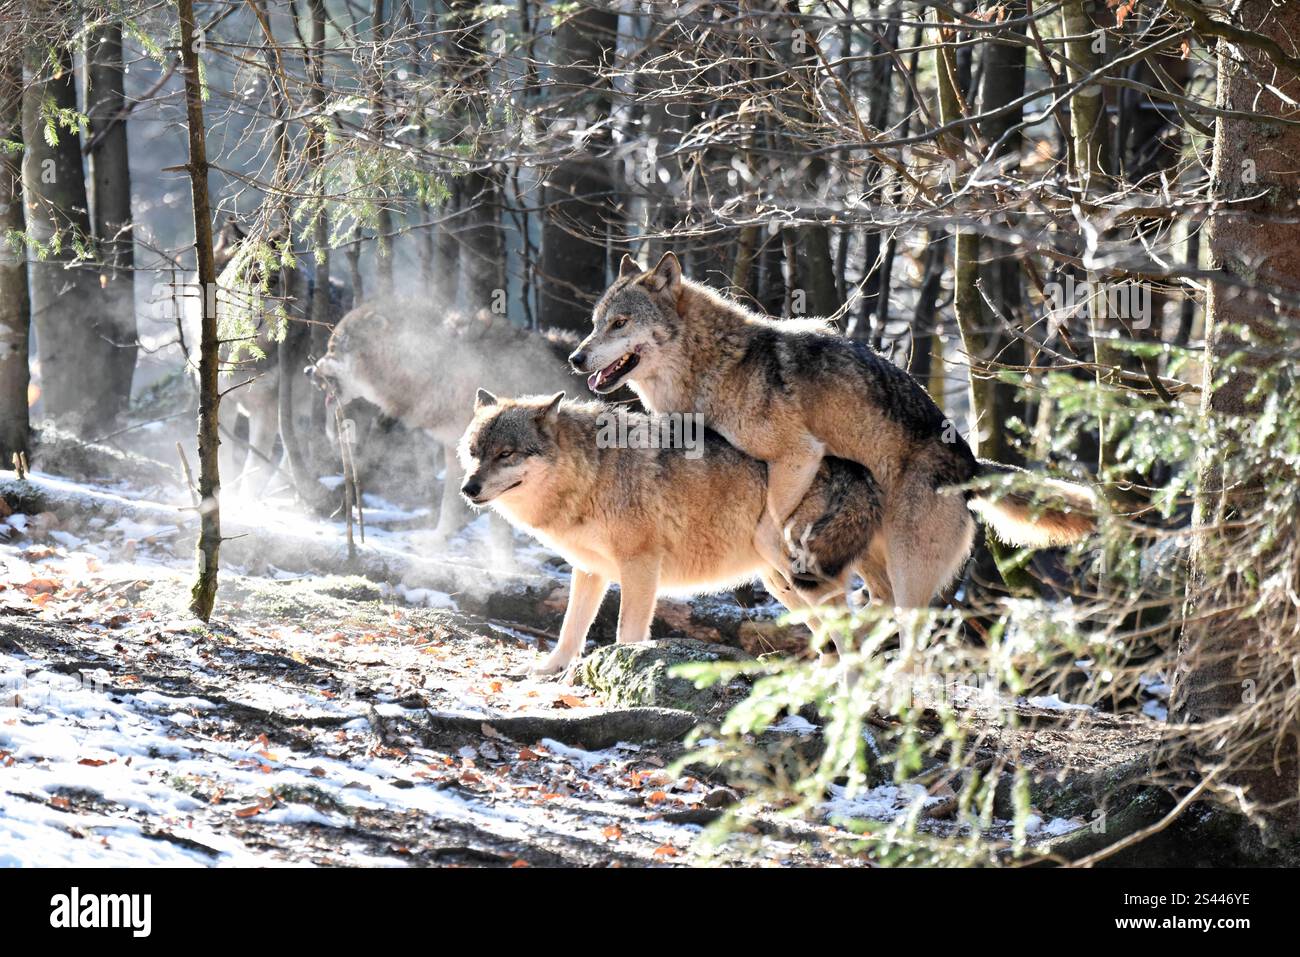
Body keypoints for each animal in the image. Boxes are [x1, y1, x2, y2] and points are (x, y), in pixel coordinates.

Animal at [309, 299, 577, 544]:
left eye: (333, 348)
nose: (307, 371)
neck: (435, 372)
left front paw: (501, 561)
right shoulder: (457, 451)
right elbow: (449, 503)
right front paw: (439, 538)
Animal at [458, 392, 885, 675]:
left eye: (506, 454)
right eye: (475, 452)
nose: (468, 488)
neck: (591, 475)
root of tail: (855, 471)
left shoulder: (640, 565)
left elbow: (627, 631)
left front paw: (621, 670)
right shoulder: (590, 571)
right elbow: (570, 630)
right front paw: (549, 670)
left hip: (803, 581)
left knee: (852, 640)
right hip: (784, 586)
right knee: (832, 641)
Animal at [569, 253, 1097, 609]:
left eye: (620, 323)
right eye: (595, 323)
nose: (576, 358)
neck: (715, 365)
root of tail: (969, 464)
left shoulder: (798, 455)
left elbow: (767, 530)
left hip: (908, 565)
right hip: (868, 551)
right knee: (879, 602)